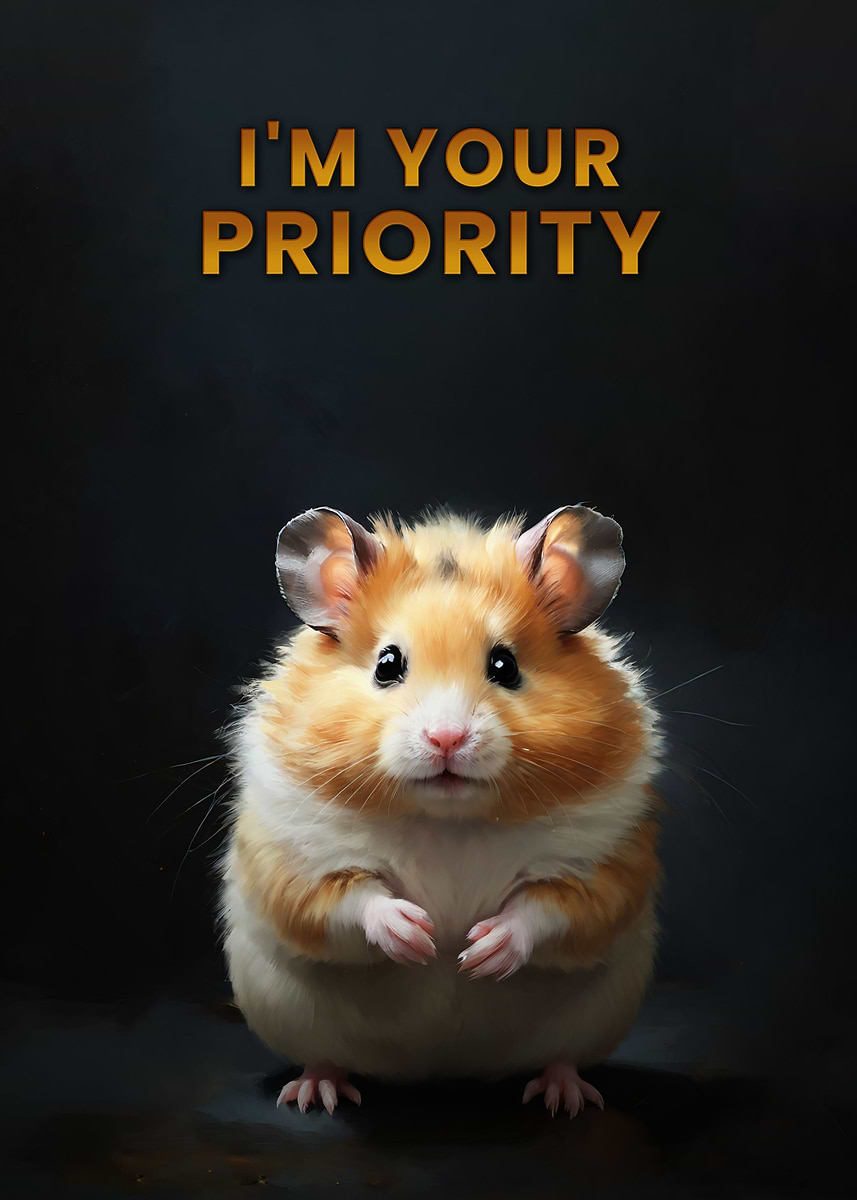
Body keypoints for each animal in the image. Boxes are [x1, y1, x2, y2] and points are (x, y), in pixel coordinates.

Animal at [221, 505, 662, 1118]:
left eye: (505, 665)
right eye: (387, 664)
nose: (447, 738)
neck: (448, 821)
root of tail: (439, 1071)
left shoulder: (607, 866)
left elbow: (552, 908)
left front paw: (478, 953)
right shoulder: (295, 863)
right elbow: (347, 899)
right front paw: (422, 940)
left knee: (565, 1056)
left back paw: (564, 1098)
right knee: (322, 1056)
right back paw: (316, 1095)